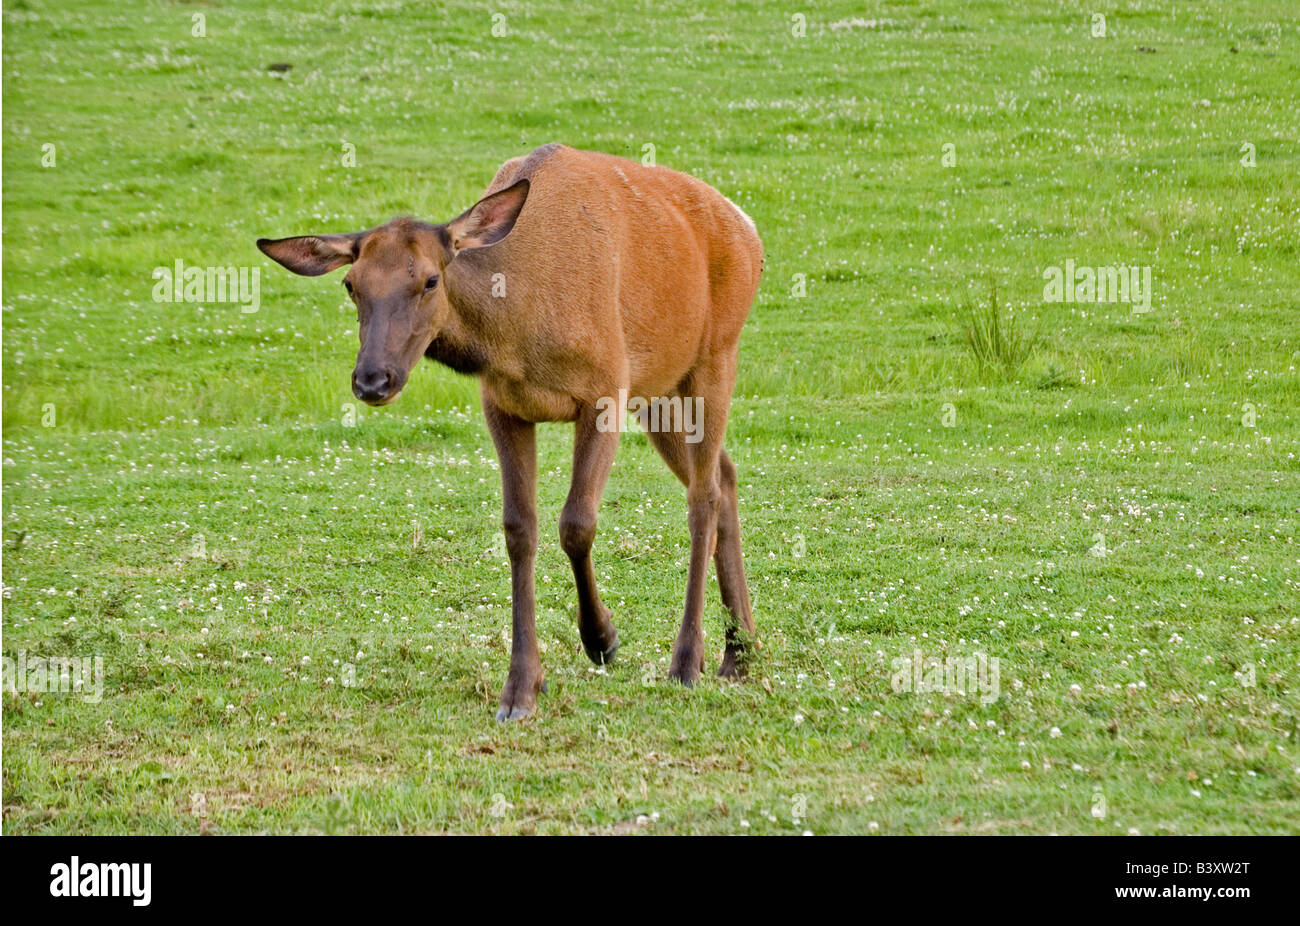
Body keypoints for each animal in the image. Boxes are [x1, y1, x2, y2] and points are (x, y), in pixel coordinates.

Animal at [257, 144, 762, 721]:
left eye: (430, 280)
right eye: (350, 285)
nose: (372, 379)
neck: (516, 336)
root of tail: (750, 231)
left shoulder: (606, 388)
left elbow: (577, 523)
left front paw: (602, 638)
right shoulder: (503, 404)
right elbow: (519, 529)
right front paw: (521, 688)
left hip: (715, 355)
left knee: (703, 494)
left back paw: (688, 661)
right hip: (658, 389)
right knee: (725, 473)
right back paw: (739, 652)